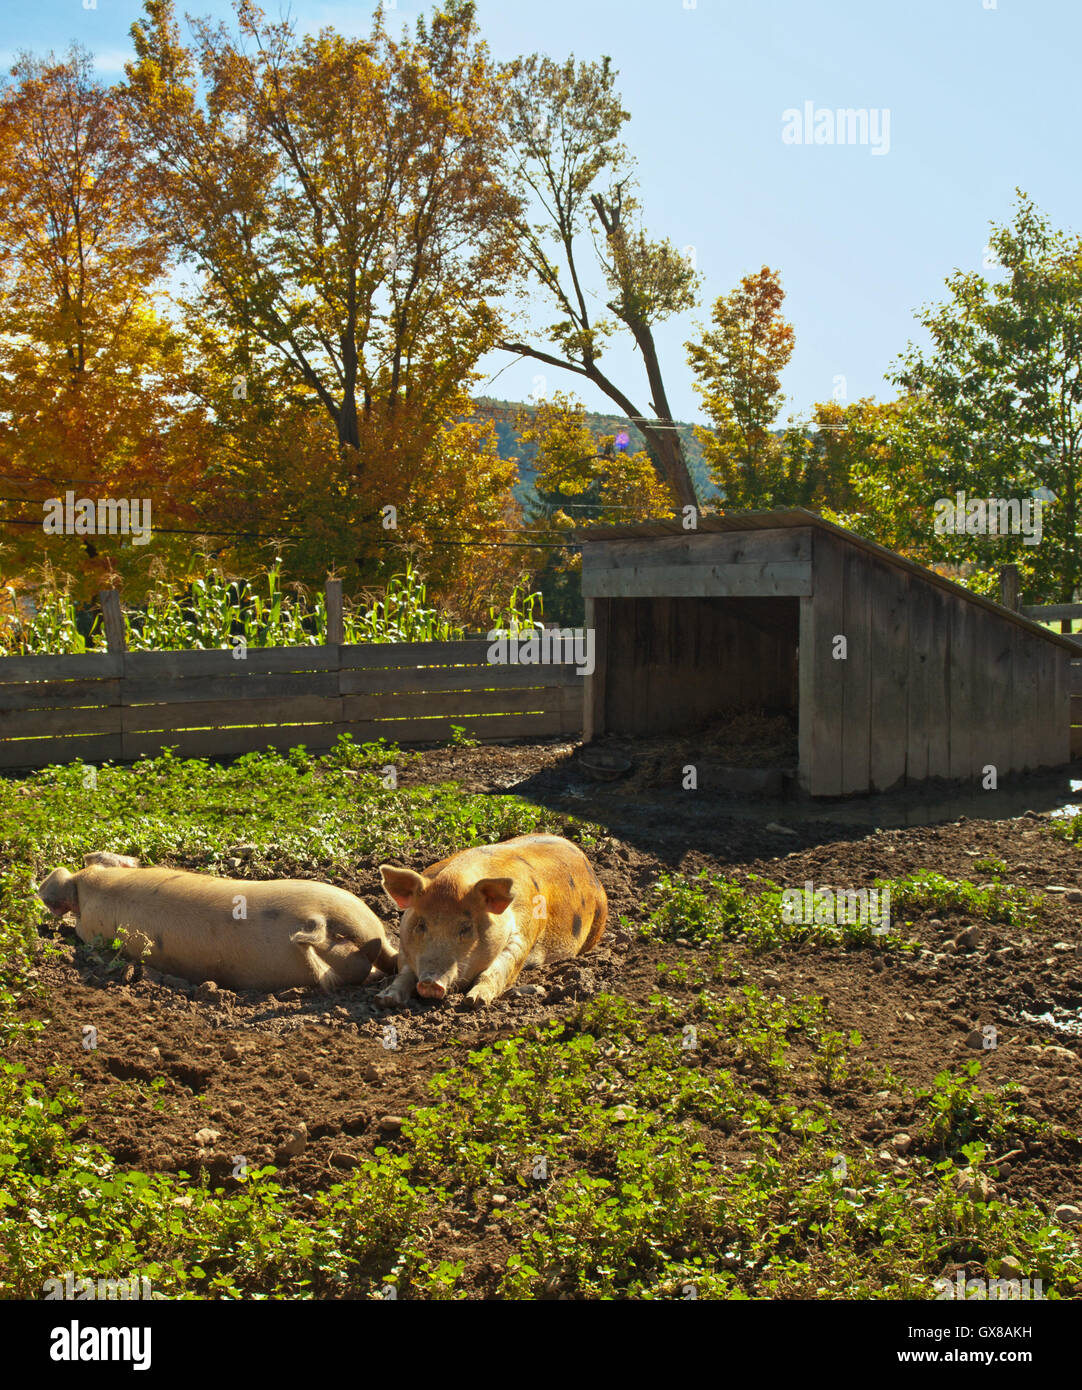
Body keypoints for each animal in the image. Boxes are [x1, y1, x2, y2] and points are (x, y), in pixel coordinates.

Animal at [376, 833, 607, 1008]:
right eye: (421, 924)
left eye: (466, 928)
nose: (431, 982)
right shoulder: (405, 949)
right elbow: (404, 974)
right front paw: (385, 999)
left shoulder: (524, 935)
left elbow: (498, 971)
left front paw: (474, 1001)